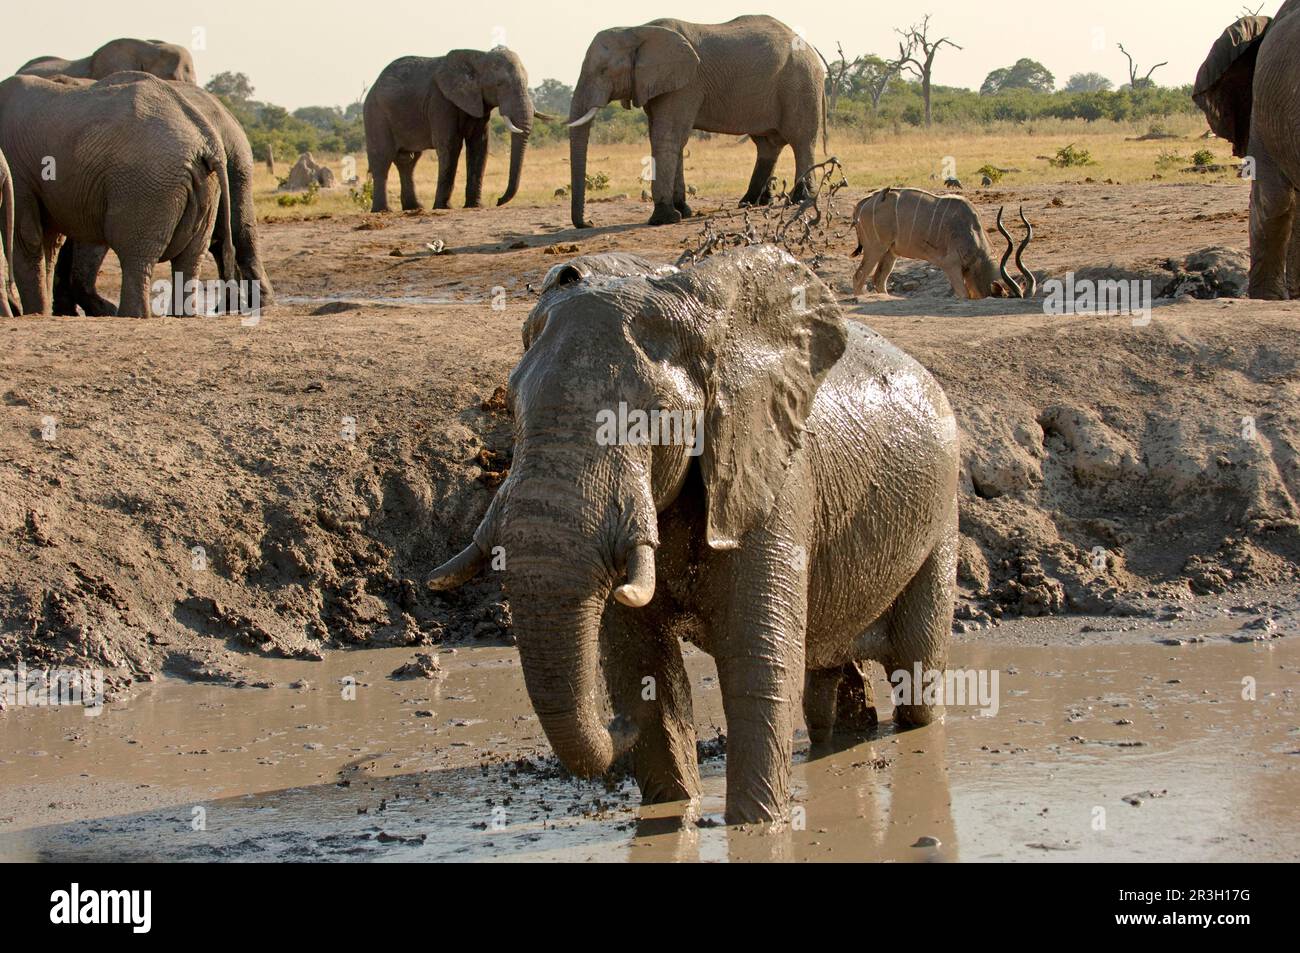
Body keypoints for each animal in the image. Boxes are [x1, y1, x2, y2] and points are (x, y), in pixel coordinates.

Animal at [0, 73, 234, 317]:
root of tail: (207, 142)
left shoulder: (17, 169)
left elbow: (27, 236)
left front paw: (35, 313)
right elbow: (48, 241)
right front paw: (40, 312)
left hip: (146, 183)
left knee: (134, 252)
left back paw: (131, 315)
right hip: (204, 184)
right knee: (191, 256)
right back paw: (179, 316)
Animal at [44, 75, 273, 316]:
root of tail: (225, 111)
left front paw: (101, 310)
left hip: (235, 159)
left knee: (237, 228)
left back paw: (254, 304)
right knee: (223, 237)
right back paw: (228, 307)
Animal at [364, 48, 534, 212]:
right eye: (499, 84)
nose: (498, 201)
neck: (478, 57)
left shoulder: (478, 102)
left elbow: (479, 146)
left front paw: (475, 206)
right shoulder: (440, 100)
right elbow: (450, 145)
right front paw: (443, 207)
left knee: (408, 161)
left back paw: (414, 207)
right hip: (376, 114)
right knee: (382, 158)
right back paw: (383, 210)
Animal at [429, 245, 960, 824]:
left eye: (655, 419)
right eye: (512, 407)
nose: (618, 728)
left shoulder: (773, 481)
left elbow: (758, 664)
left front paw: (756, 828)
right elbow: (643, 665)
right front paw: (670, 814)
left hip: (943, 511)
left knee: (917, 675)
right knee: (826, 680)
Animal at [565, 15, 826, 229]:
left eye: (603, 70)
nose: (589, 222)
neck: (636, 30)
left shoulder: (685, 85)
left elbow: (667, 136)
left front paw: (664, 219)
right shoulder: (660, 84)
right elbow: (672, 139)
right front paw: (683, 211)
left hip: (801, 84)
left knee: (801, 140)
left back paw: (799, 198)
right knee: (767, 144)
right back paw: (751, 202)